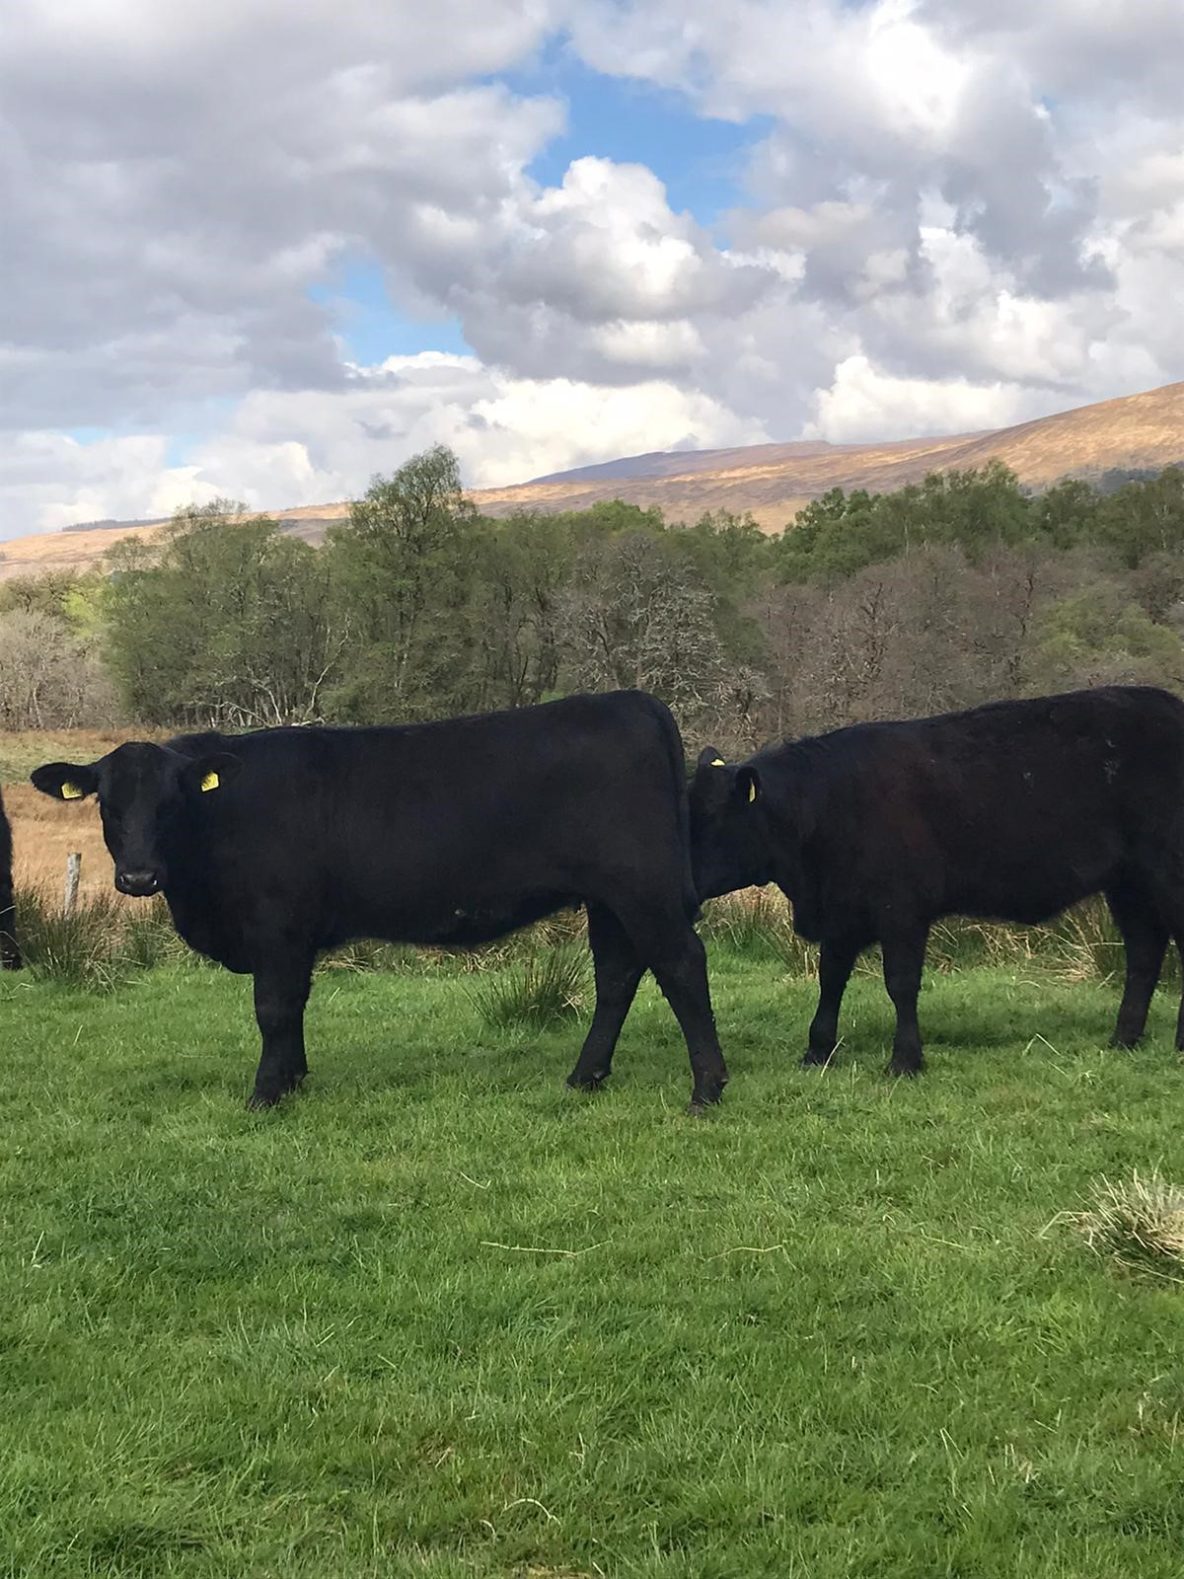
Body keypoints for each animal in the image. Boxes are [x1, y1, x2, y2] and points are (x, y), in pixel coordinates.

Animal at [32, 691, 727, 1111]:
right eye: (106, 803)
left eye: (172, 801)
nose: (138, 877)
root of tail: (629, 700)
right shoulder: (294, 937)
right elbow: (295, 1007)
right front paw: (294, 1079)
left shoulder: (277, 927)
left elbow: (273, 1008)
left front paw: (265, 1095)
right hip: (608, 898)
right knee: (618, 974)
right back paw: (585, 1077)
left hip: (643, 887)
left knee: (681, 965)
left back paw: (706, 1089)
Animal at [690, 686, 1184, 1076]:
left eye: (710, 817)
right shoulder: (842, 912)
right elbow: (830, 980)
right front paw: (817, 1052)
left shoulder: (902, 910)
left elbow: (901, 983)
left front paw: (905, 1061)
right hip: (1129, 885)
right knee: (1144, 953)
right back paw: (1123, 1039)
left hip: (1166, 874)